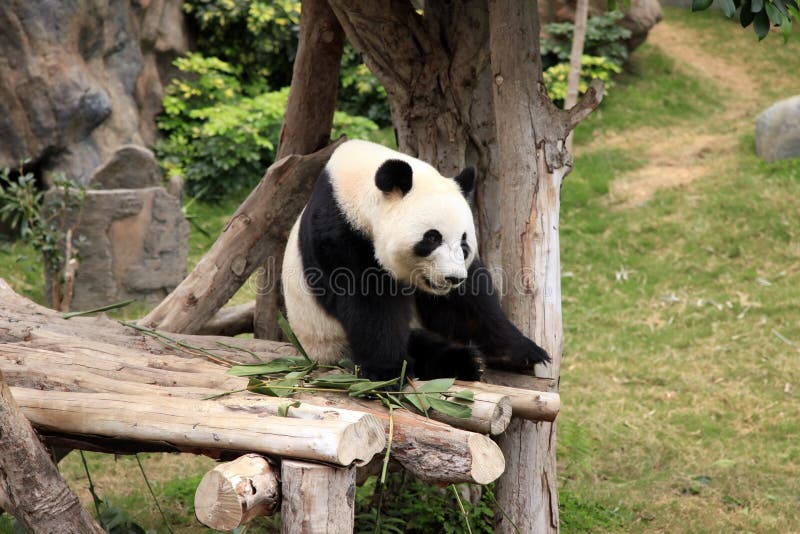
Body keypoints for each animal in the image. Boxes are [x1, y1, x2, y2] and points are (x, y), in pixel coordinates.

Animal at [282, 140, 550, 381]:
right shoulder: (339, 234)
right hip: (329, 341)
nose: (453, 278)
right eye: (432, 237)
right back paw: (462, 361)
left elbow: (467, 302)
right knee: (419, 346)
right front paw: (386, 371)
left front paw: (521, 351)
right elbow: (368, 302)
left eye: (464, 243)